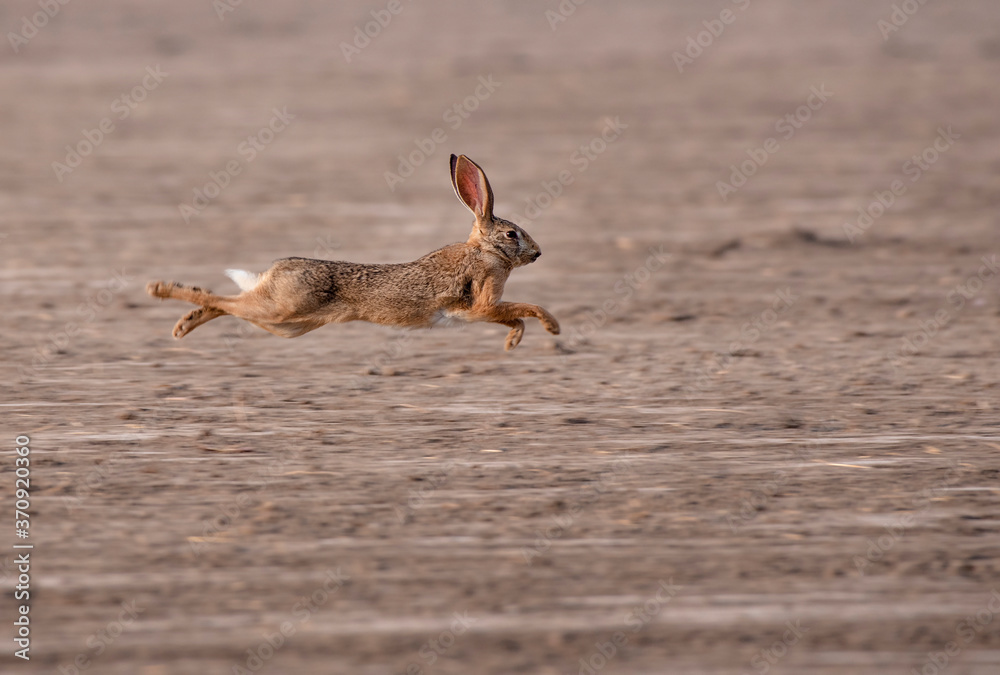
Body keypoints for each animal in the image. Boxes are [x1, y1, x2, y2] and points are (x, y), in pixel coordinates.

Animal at [147, 154, 560, 350]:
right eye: (511, 233)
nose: (538, 253)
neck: (485, 251)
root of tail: (273, 271)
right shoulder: (483, 302)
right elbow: (526, 308)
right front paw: (552, 326)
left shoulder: (480, 312)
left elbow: (515, 317)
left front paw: (512, 343)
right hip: (284, 310)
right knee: (228, 301)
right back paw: (162, 291)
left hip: (285, 324)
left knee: (229, 303)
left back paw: (184, 321)